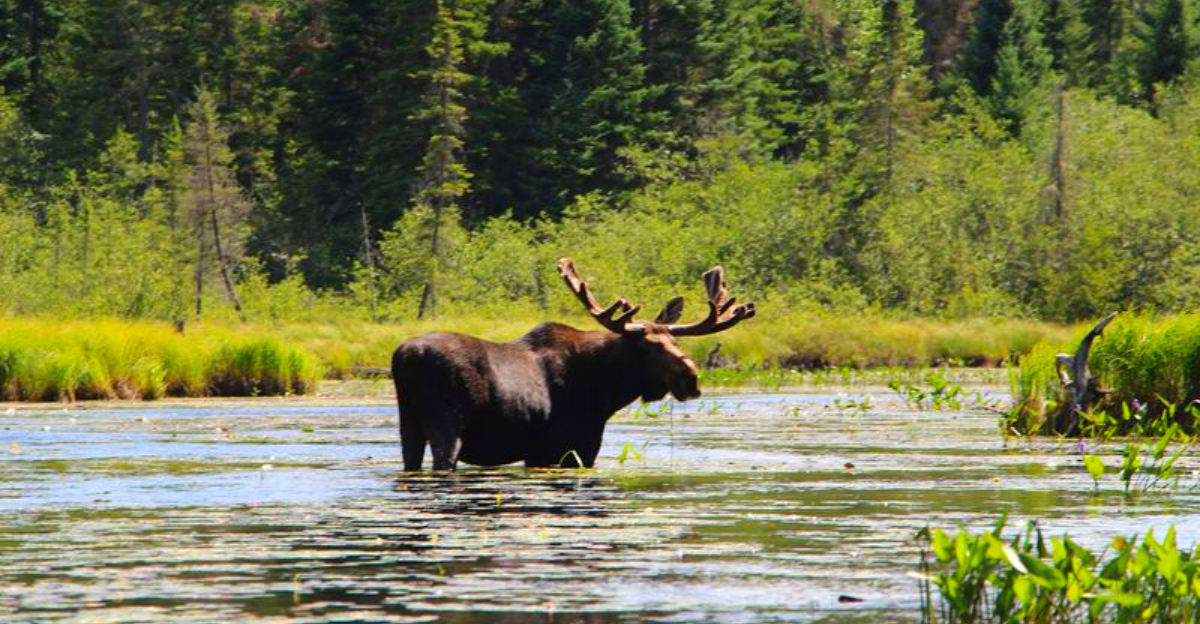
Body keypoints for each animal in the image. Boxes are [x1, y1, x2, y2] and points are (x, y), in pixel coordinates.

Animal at [391, 258, 756, 470]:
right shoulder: (572, 446)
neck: (607, 391)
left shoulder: (538, 452)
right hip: (447, 424)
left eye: (675, 342)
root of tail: (402, 357)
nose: (691, 379)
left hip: (409, 422)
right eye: (649, 346)